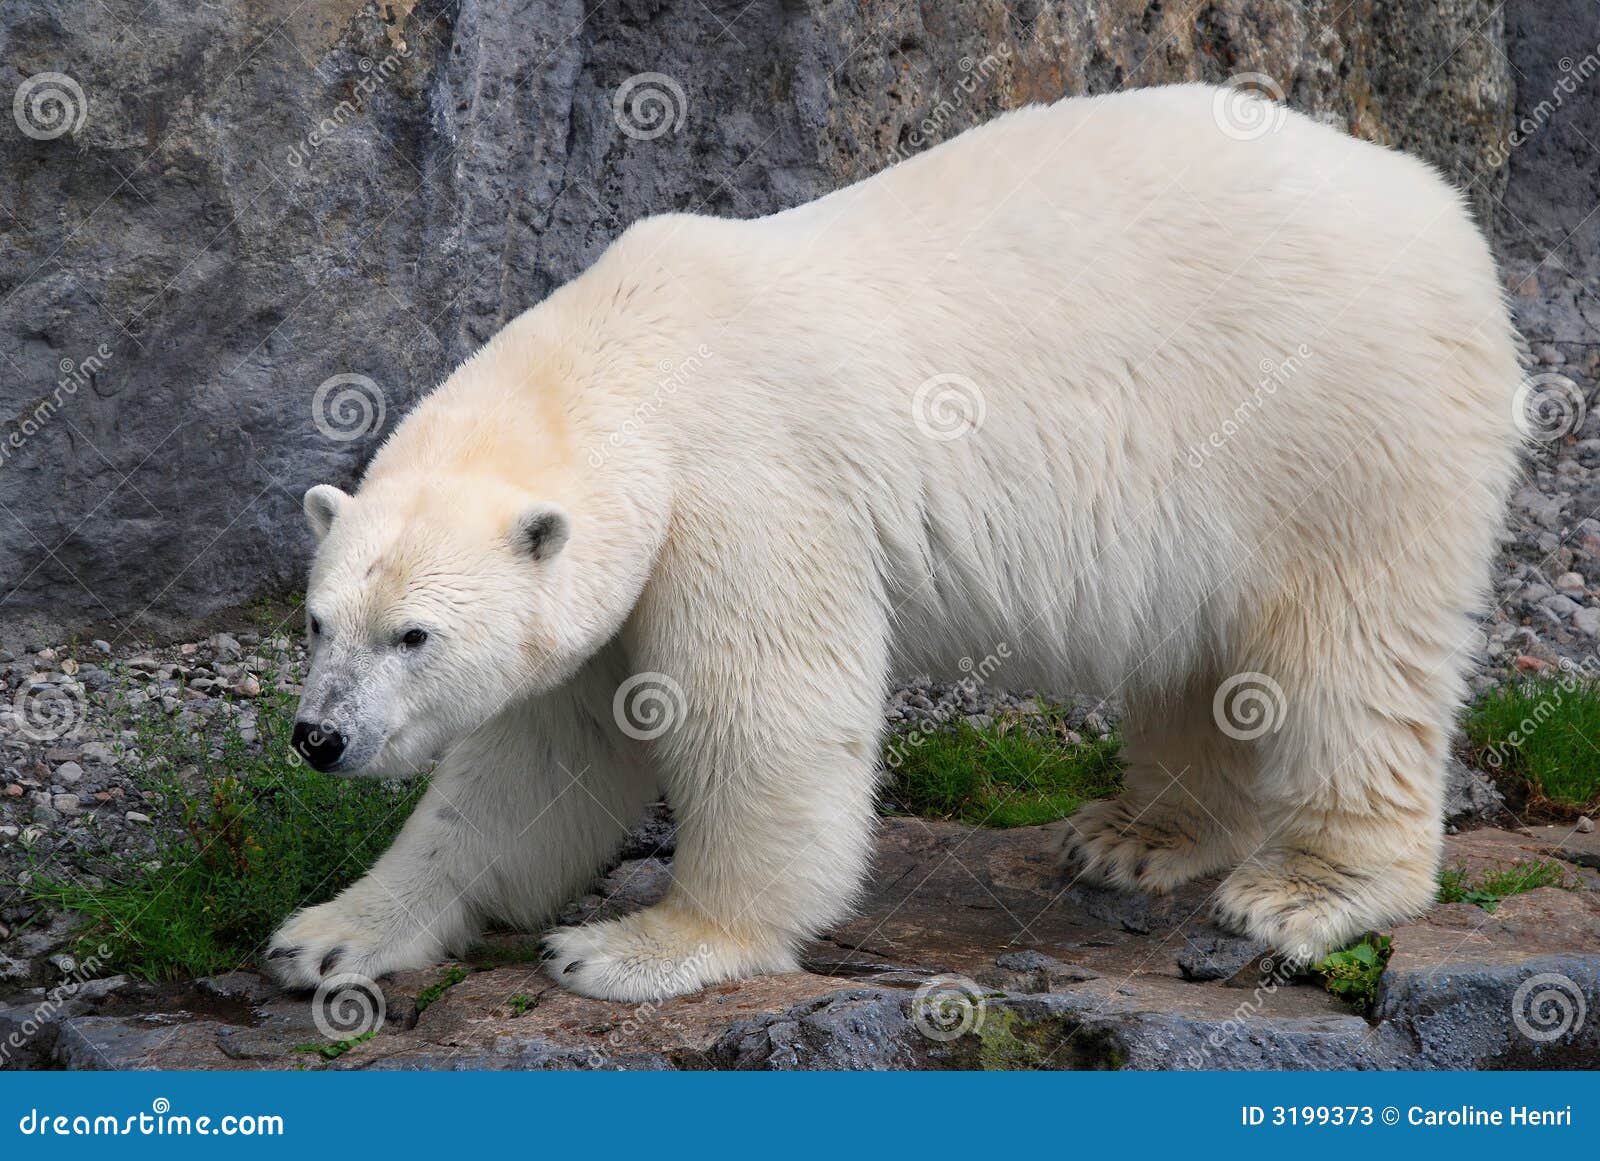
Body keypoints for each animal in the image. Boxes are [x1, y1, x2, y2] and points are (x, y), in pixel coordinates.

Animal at [267, 83, 1522, 1002]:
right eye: (321, 622)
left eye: (415, 636)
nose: (319, 737)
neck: (628, 359)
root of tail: (1442, 210)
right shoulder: (615, 574)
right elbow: (535, 762)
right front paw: (326, 936)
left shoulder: (743, 491)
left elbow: (762, 716)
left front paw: (641, 946)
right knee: (1204, 658)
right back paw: (1135, 834)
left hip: (1334, 426)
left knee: (1346, 649)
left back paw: (1304, 888)